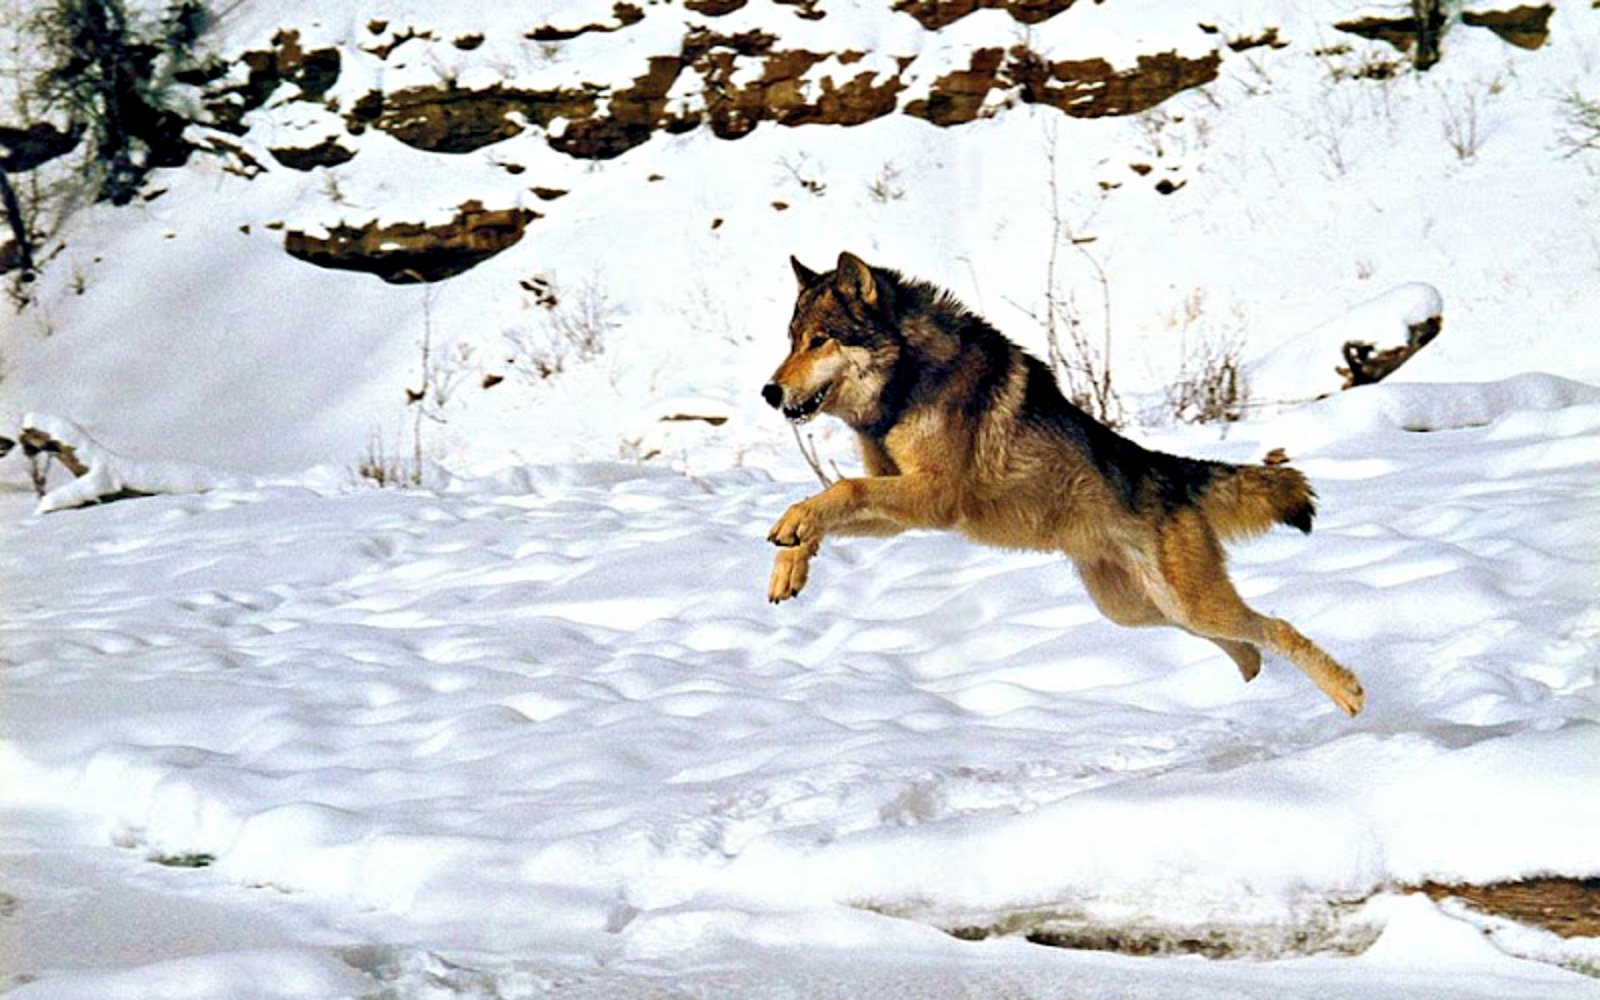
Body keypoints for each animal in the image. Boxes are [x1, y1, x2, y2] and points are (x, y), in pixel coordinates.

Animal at [761, 251, 1365, 716]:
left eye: (820, 340)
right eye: (790, 340)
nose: (769, 391)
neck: (906, 383)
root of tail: (1166, 468)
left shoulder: (936, 497)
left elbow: (840, 492)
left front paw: (793, 530)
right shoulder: (898, 498)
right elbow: (828, 505)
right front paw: (790, 562)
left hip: (1185, 603)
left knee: (1276, 626)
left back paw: (1348, 693)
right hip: (1139, 610)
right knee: (1246, 642)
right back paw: (1254, 680)